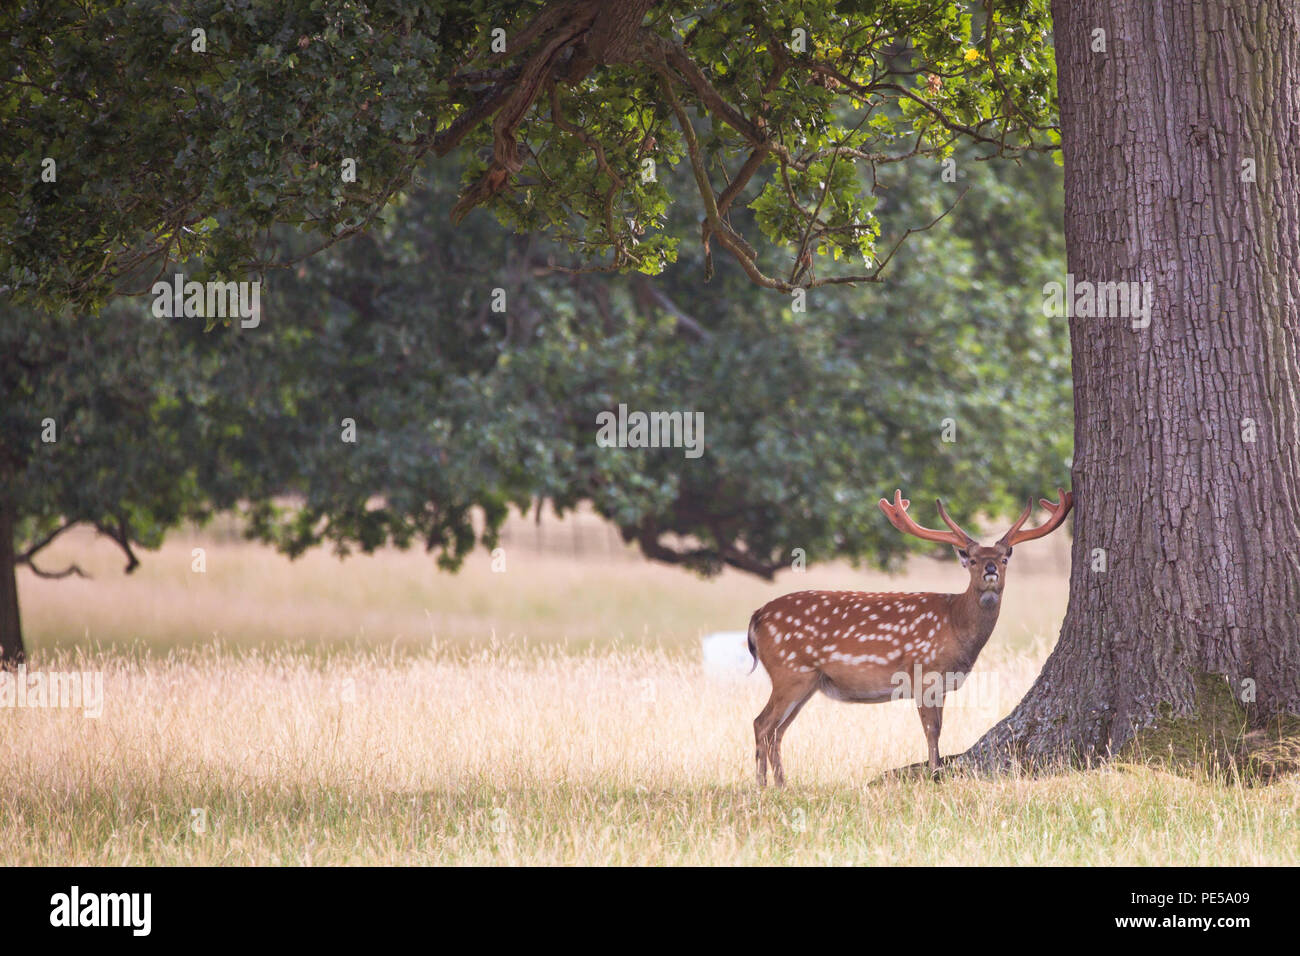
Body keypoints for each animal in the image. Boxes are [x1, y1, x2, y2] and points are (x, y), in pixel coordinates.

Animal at [747, 488, 1072, 786]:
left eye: (1004, 558)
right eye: (972, 559)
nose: (990, 568)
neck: (955, 624)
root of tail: (757, 616)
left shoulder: (942, 684)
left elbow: (939, 727)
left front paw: (936, 772)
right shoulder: (923, 673)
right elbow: (931, 729)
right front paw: (934, 775)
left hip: (808, 681)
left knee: (777, 730)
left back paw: (781, 784)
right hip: (789, 670)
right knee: (762, 723)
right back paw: (762, 785)